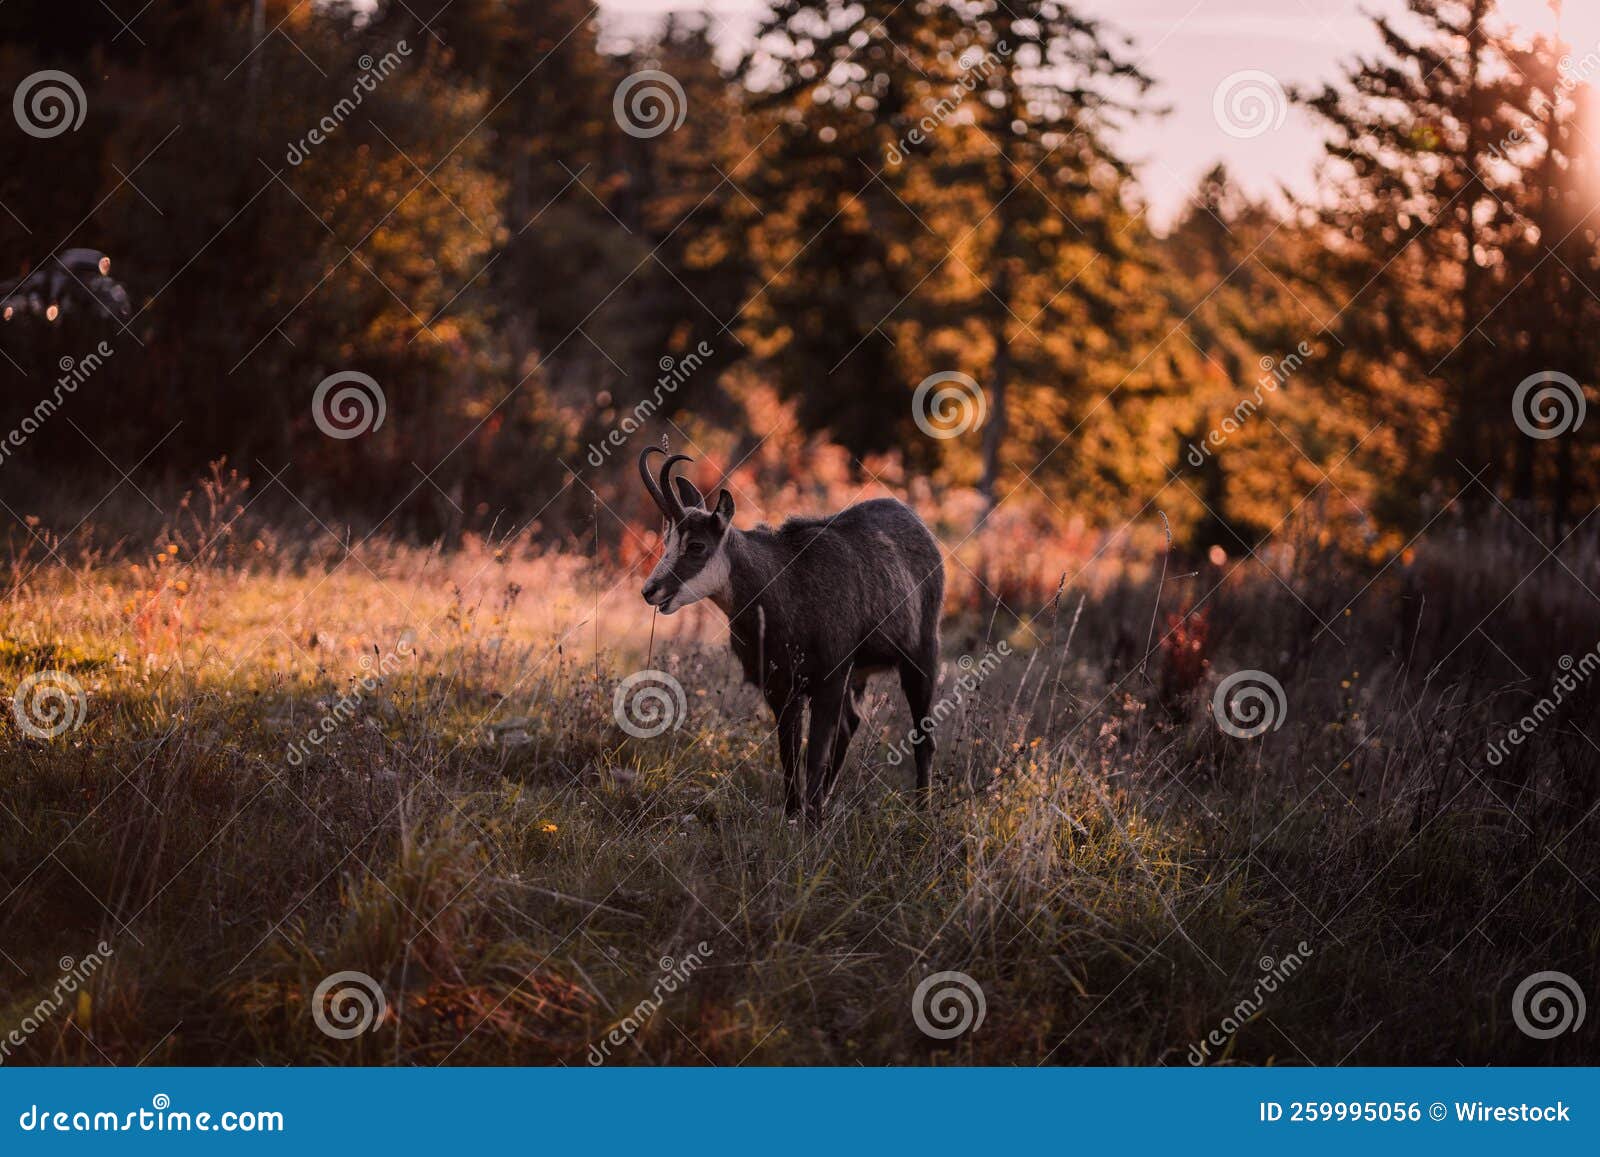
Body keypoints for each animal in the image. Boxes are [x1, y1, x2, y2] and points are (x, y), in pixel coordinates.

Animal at [637, 448, 945, 821]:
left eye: (697, 545)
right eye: (667, 539)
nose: (650, 591)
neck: (785, 587)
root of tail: (919, 526)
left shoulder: (828, 680)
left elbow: (812, 755)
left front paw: (809, 821)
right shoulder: (781, 687)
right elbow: (789, 752)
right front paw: (794, 814)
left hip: (921, 656)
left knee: (922, 736)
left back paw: (922, 810)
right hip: (856, 676)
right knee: (851, 723)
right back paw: (826, 800)